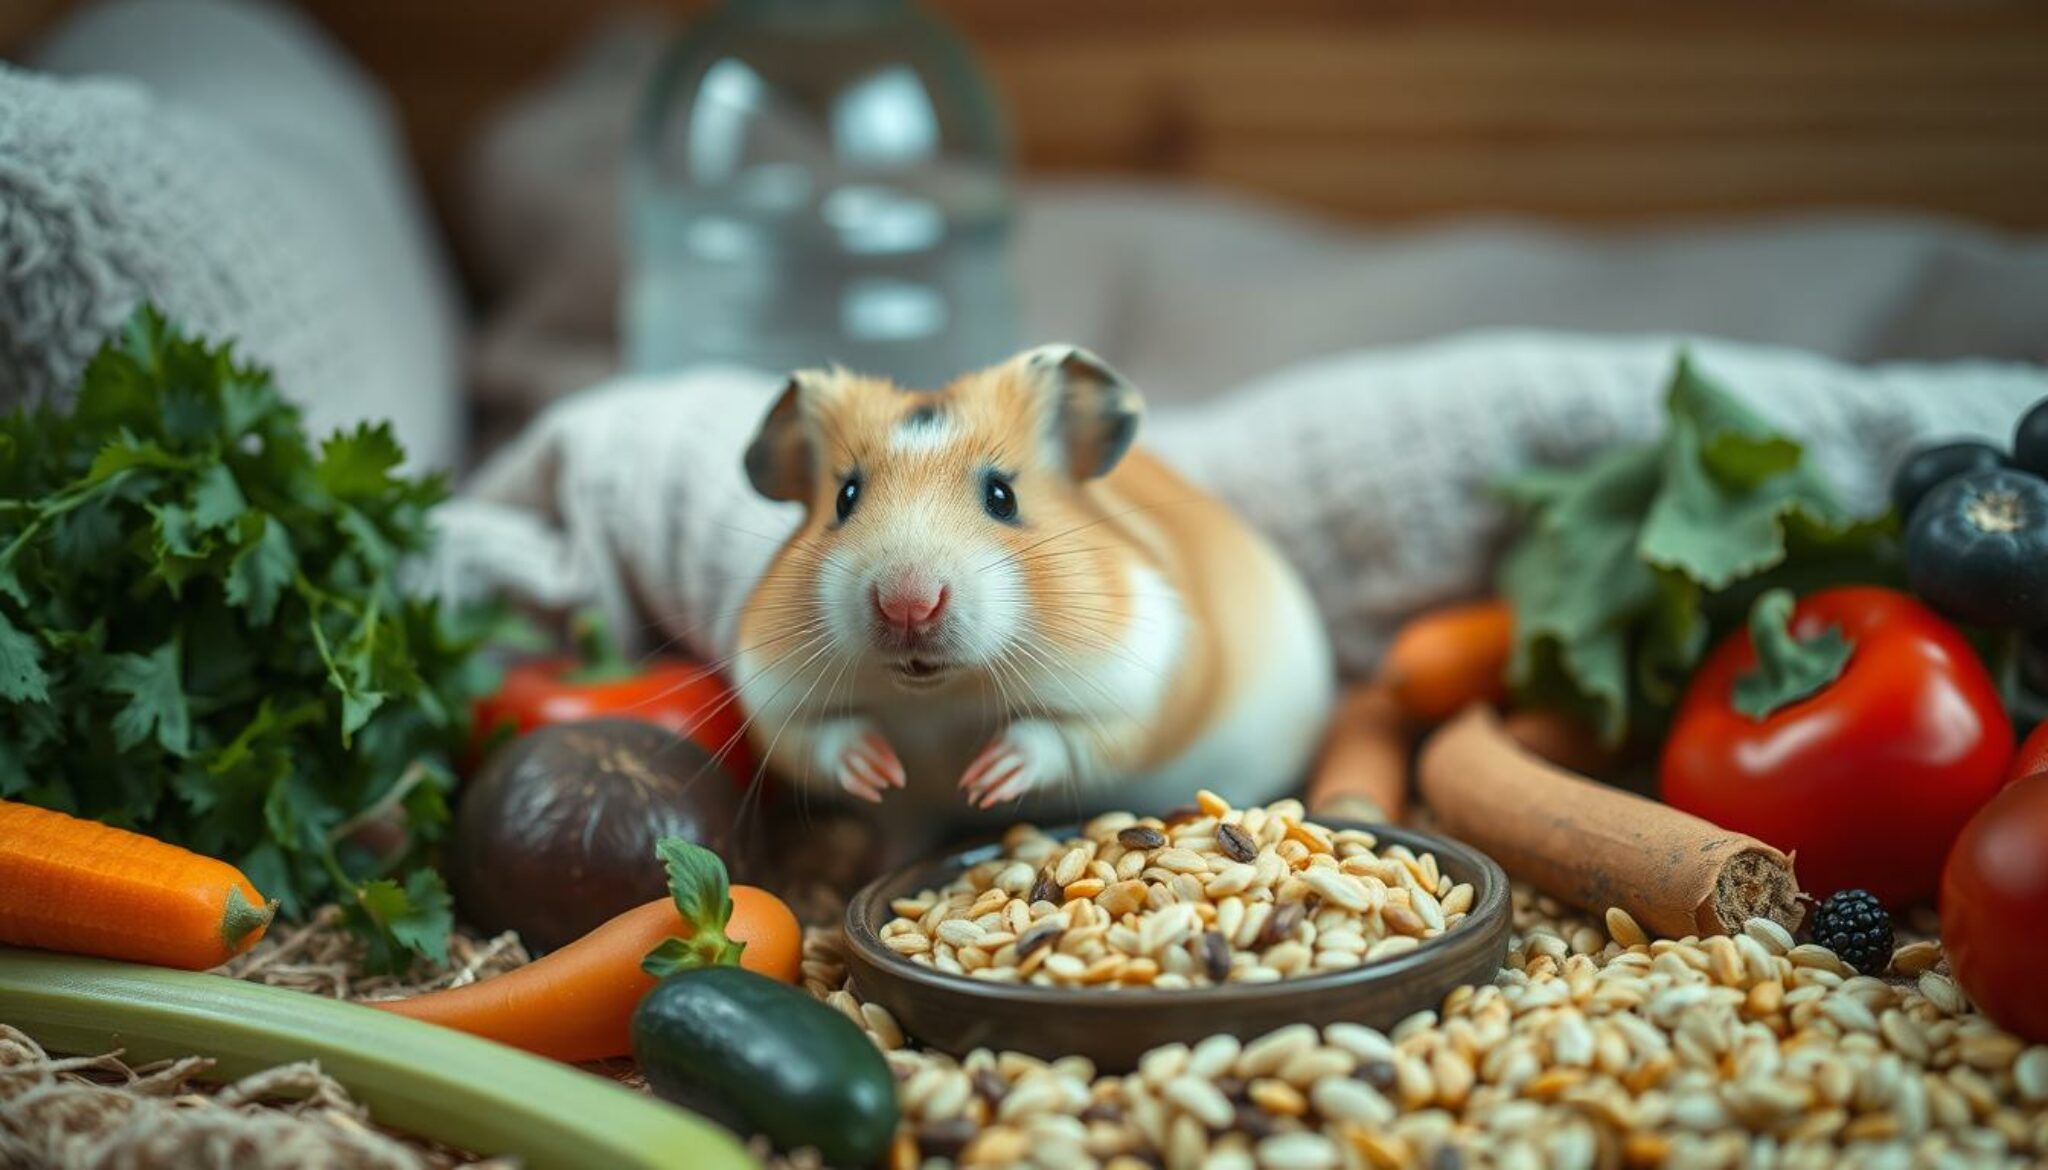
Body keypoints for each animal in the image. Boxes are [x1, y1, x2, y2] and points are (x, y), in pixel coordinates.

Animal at [734, 345, 1334, 823]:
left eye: (1003, 497)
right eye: (845, 498)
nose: (908, 605)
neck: (938, 695)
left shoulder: (1142, 696)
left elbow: (1058, 738)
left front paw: (985, 780)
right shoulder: (770, 707)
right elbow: (823, 740)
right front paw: (880, 771)